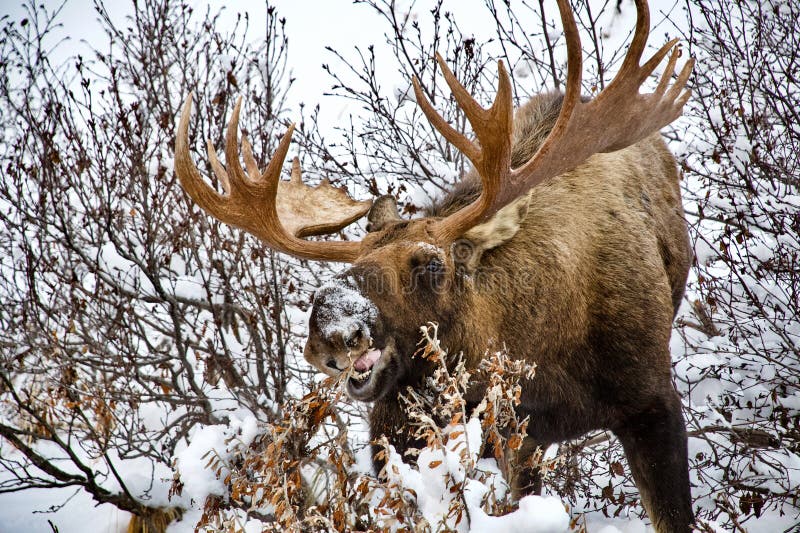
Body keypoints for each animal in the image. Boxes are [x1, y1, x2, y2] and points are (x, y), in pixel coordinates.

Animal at [174, 0, 695, 530]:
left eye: (430, 264)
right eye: (355, 261)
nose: (332, 327)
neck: (546, 348)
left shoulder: (654, 401)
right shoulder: (470, 433)